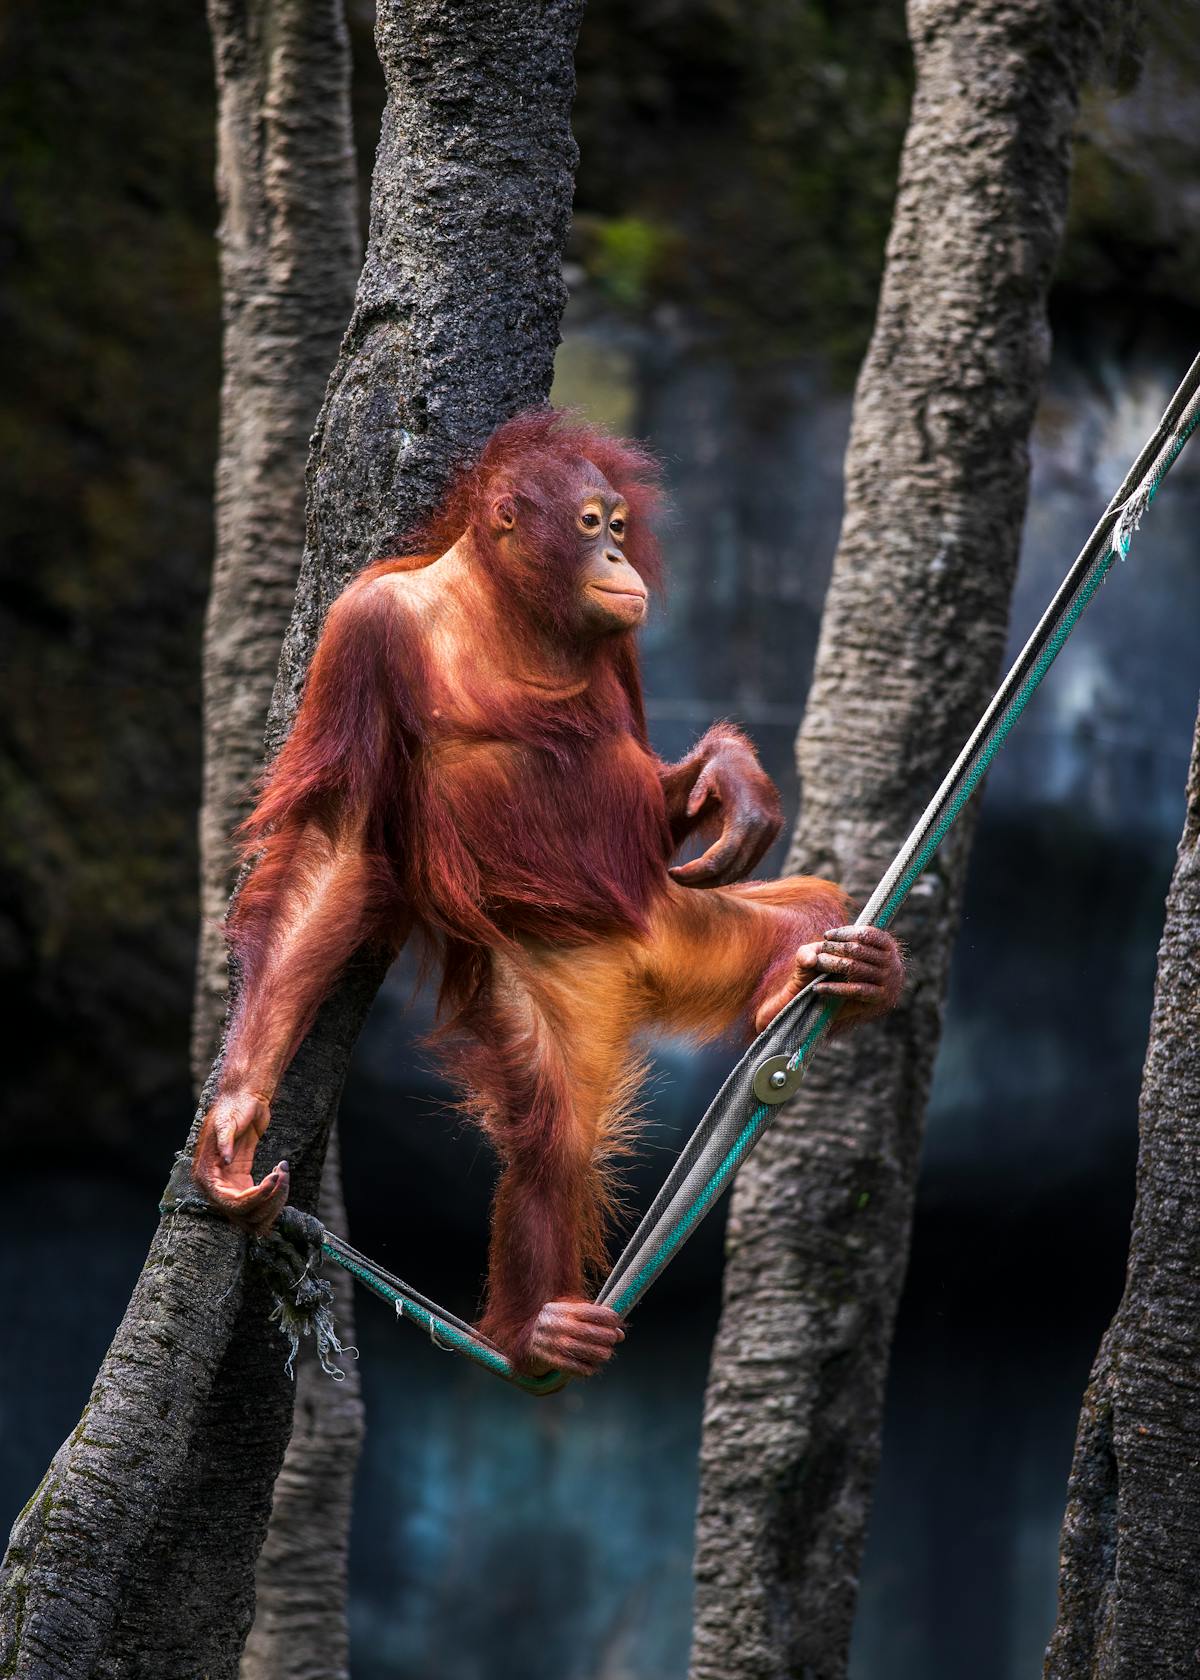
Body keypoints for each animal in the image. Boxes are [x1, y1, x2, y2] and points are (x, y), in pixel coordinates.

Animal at [193, 410, 904, 1379]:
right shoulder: (363, 630)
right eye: (589, 523)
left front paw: (732, 778)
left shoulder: (622, 656)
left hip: (678, 918)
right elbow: (337, 849)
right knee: (550, 1126)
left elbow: (648, 795)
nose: (616, 556)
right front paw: (235, 1116)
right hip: (553, 978)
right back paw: (540, 1335)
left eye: (618, 525)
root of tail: (641, 971)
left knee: (812, 911)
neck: (503, 610)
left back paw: (837, 973)